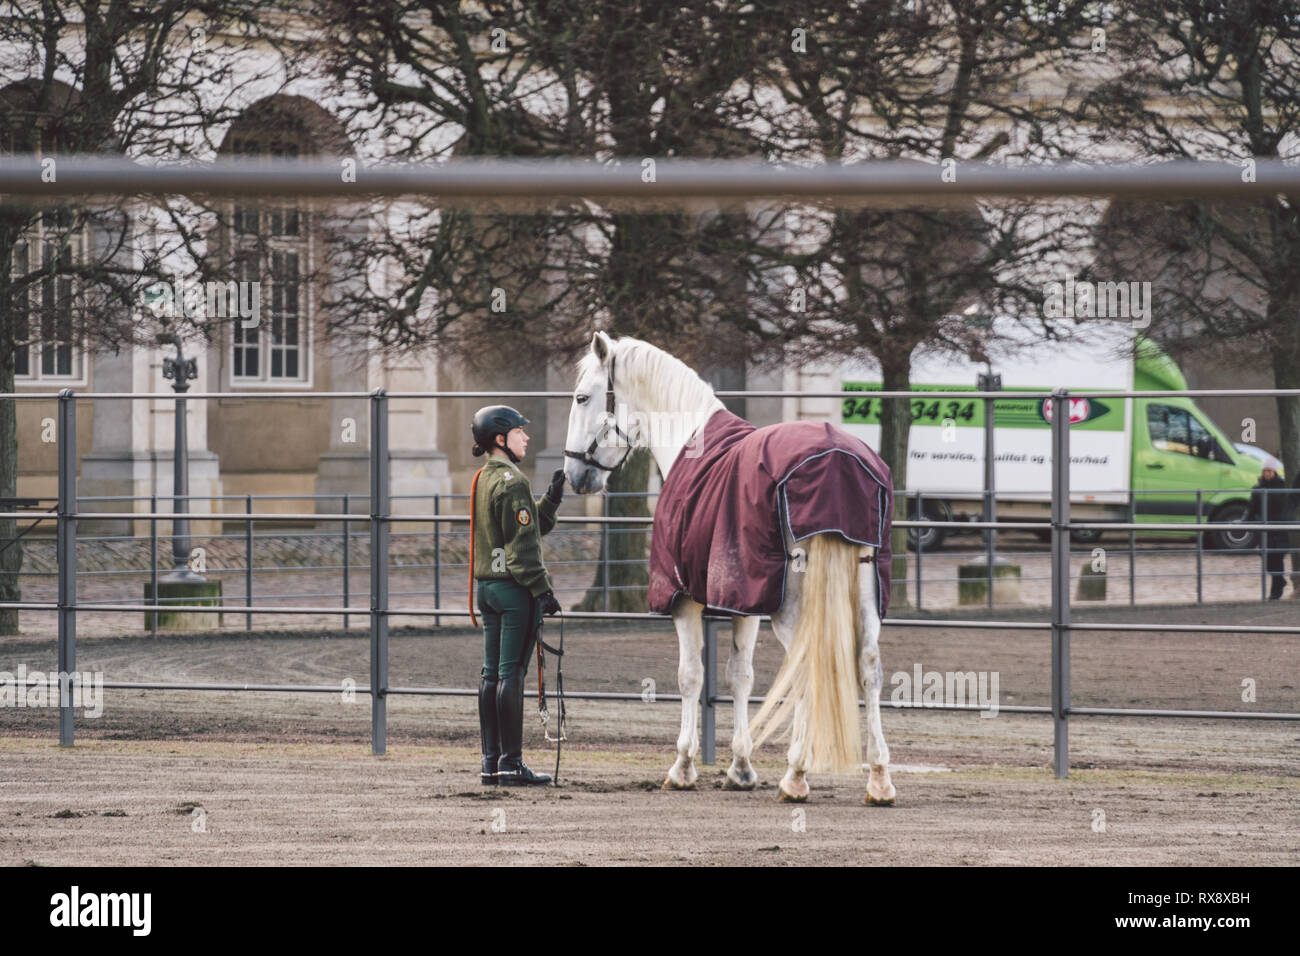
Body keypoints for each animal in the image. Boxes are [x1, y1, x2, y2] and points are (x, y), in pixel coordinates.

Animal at [562, 330, 896, 805]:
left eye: (582, 396)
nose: (574, 474)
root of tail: (837, 460)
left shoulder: (684, 599)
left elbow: (690, 676)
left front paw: (683, 766)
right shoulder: (746, 603)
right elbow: (741, 676)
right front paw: (741, 767)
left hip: (796, 608)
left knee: (808, 668)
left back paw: (796, 775)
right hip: (866, 593)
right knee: (869, 667)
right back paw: (879, 779)